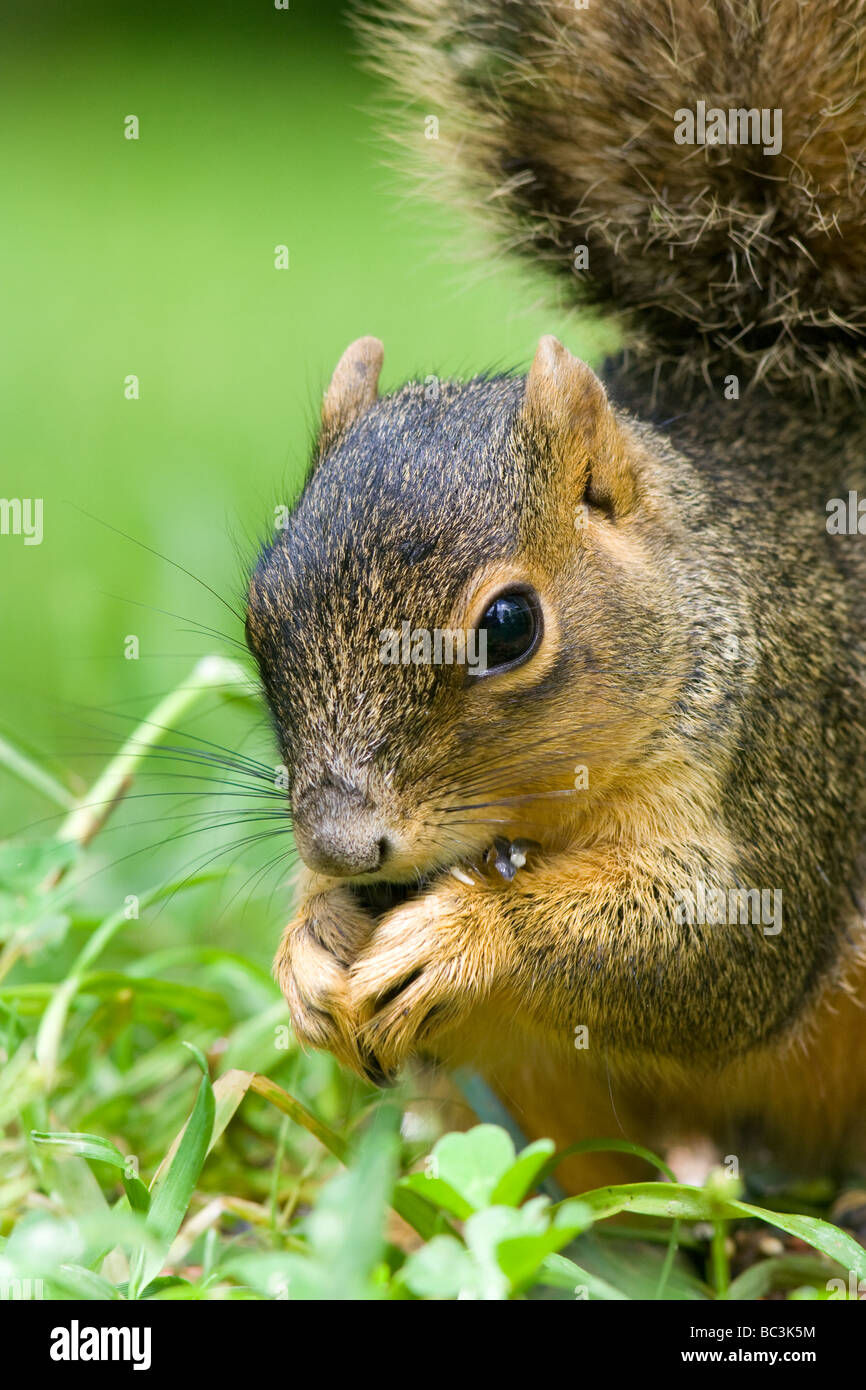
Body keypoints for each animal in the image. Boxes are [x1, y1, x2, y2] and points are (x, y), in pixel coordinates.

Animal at [245, 0, 866, 1208]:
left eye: (508, 627)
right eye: (258, 614)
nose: (344, 845)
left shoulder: (781, 758)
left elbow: (717, 953)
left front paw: (467, 934)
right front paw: (307, 946)